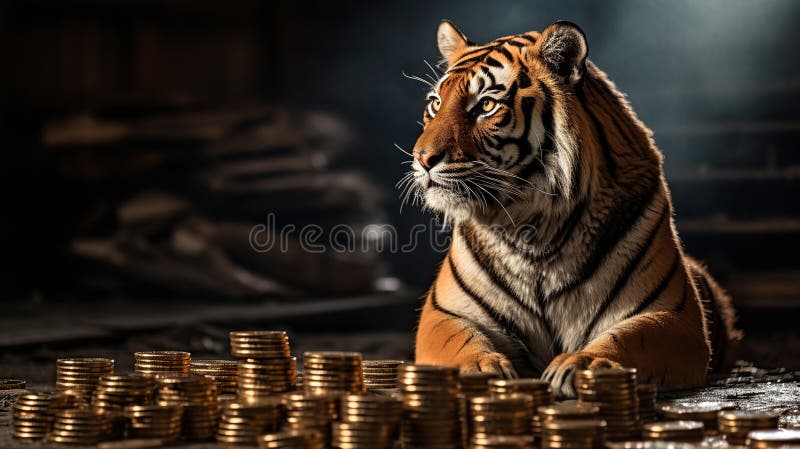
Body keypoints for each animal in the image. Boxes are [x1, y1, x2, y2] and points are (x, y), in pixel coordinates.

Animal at [404, 19, 741, 397]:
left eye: (487, 105)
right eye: (435, 104)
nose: (422, 158)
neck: (532, 227)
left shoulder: (672, 317)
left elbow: (625, 340)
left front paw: (582, 364)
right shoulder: (445, 314)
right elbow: (459, 345)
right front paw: (477, 372)